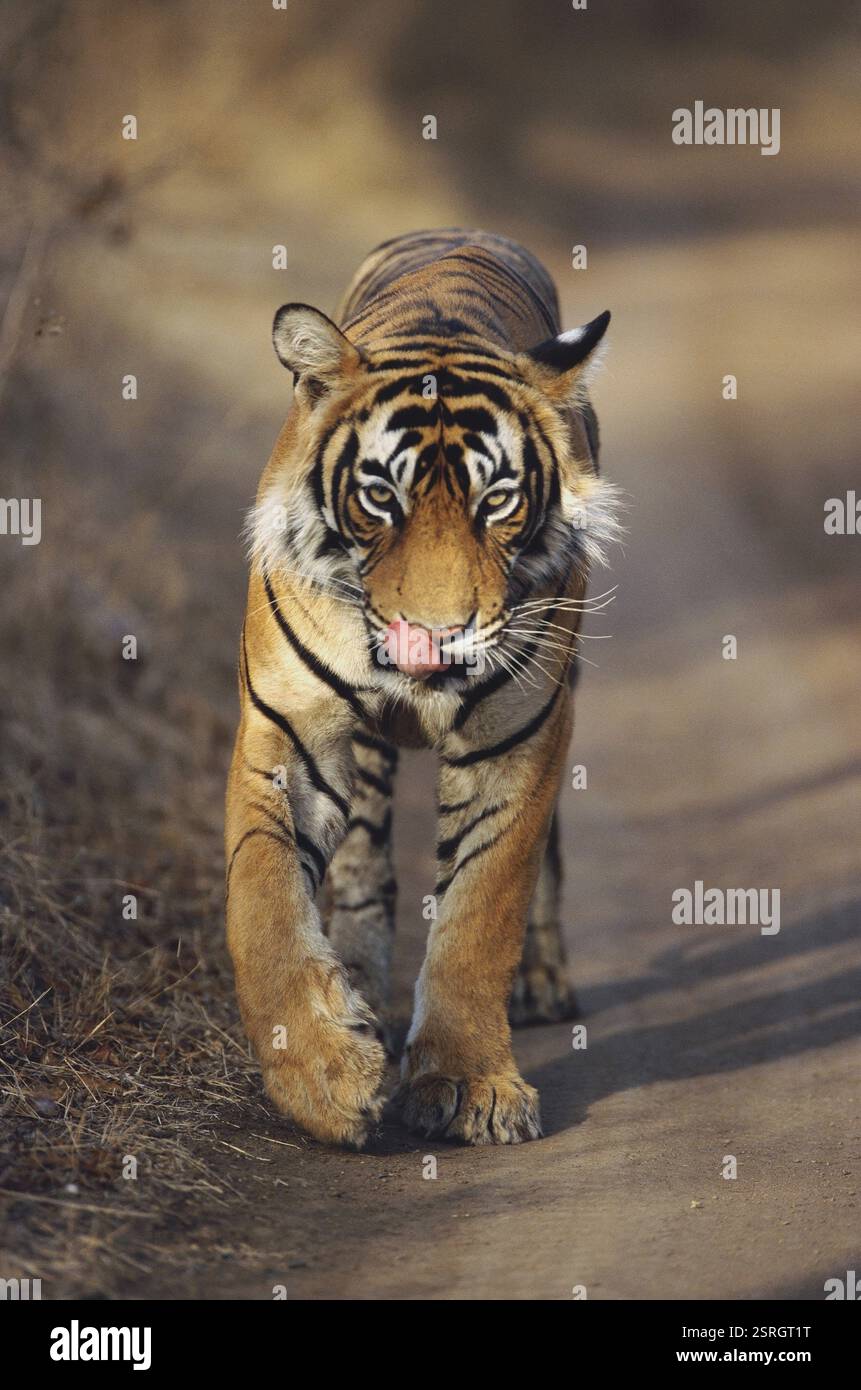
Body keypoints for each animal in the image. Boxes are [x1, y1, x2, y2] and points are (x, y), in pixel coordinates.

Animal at [225, 228, 619, 1148]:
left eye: (497, 499)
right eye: (380, 496)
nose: (433, 637)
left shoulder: (516, 741)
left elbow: (480, 911)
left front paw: (467, 1083)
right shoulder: (287, 735)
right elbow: (261, 900)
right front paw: (325, 1077)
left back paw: (541, 981)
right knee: (365, 861)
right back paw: (361, 983)